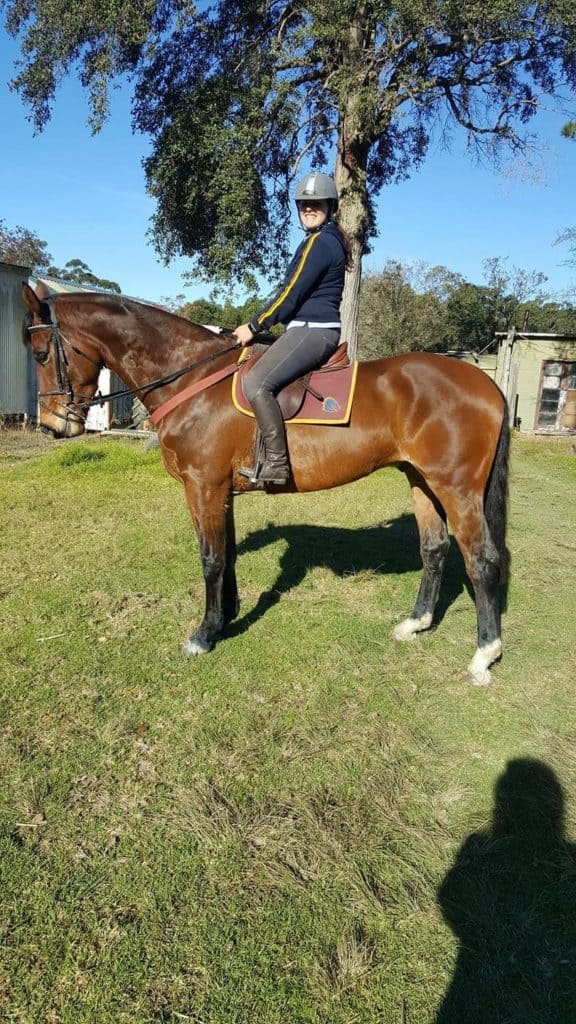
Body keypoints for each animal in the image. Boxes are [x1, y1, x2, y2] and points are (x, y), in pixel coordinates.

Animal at [21, 282, 509, 685]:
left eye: (41, 355)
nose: (50, 426)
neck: (192, 378)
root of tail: (486, 384)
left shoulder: (203, 486)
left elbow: (211, 559)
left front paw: (204, 633)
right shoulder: (221, 490)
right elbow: (228, 553)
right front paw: (227, 616)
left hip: (457, 488)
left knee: (482, 560)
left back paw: (484, 655)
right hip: (421, 480)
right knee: (434, 549)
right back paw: (416, 624)